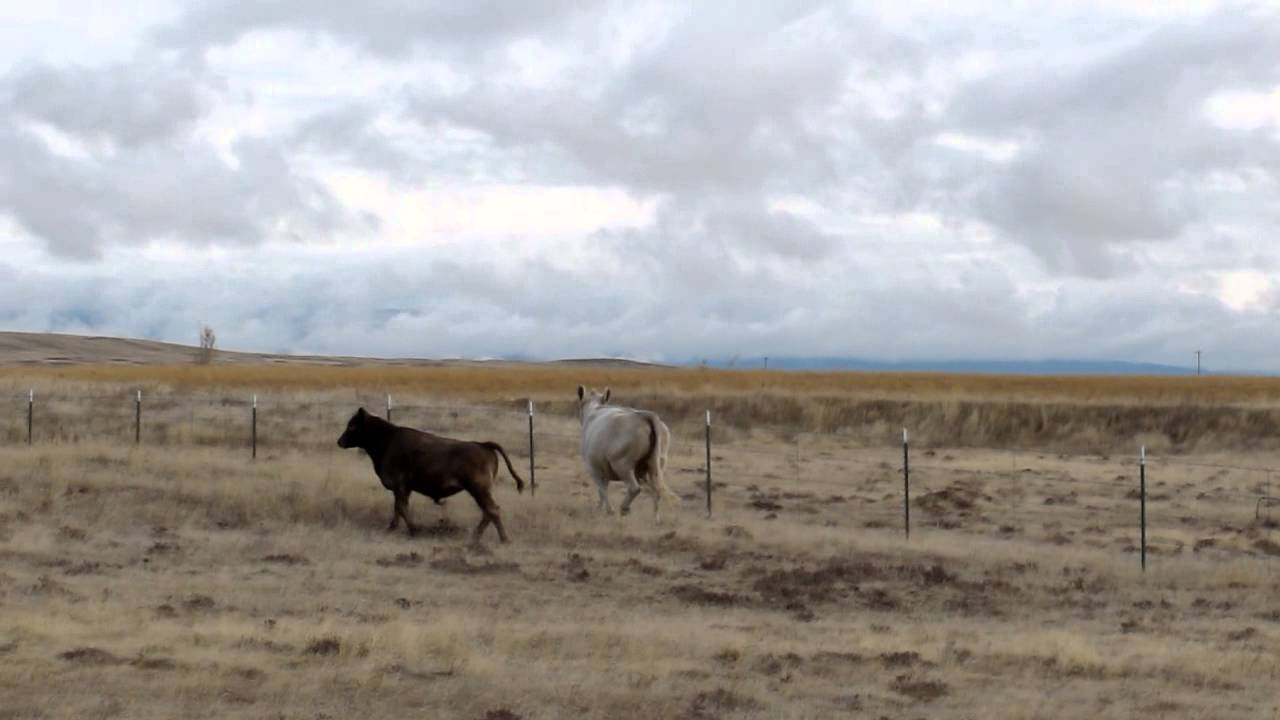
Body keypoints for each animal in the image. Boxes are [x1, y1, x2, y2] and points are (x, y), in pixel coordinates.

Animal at [336, 408, 525, 543]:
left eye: (352, 426)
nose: (340, 441)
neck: (387, 439)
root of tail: (483, 445)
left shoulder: (399, 485)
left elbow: (401, 508)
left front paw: (414, 530)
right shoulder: (403, 489)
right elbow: (398, 508)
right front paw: (392, 528)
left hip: (479, 489)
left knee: (492, 510)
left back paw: (503, 540)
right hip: (480, 491)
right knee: (488, 512)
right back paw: (476, 537)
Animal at [576, 386, 677, 522]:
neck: (595, 409)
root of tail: (644, 415)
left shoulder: (594, 469)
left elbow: (602, 490)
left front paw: (606, 510)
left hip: (622, 465)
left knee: (634, 488)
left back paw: (624, 508)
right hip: (656, 465)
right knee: (657, 490)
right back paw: (655, 519)